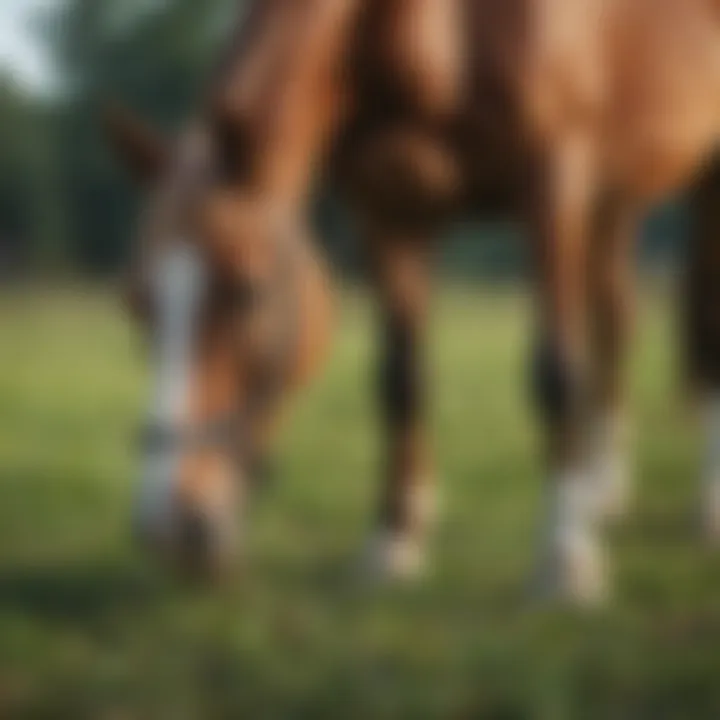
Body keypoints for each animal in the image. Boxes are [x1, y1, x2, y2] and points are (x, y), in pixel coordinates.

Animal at [105, 0, 720, 600]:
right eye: (138, 304)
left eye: (248, 292)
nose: (167, 526)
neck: (438, 29)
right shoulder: (391, 213)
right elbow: (400, 379)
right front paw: (395, 539)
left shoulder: (554, 187)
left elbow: (555, 373)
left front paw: (565, 559)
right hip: (612, 206)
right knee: (615, 325)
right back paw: (601, 492)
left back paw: (698, 509)